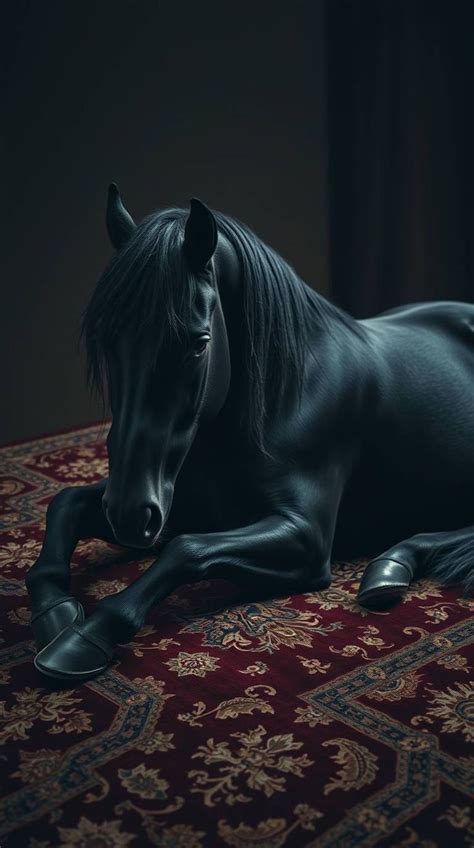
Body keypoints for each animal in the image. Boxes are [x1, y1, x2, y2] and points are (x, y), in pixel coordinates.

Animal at [25, 184, 474, 683]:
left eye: (199, 342)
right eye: (105, 338)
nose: (128, 512)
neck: (284, 397)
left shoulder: (306, 536)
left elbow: (185, 549)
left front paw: (85, 637)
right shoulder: (177, 504)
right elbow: (65, 503)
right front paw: (56, 611)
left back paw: (391, 568)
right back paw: (386, 570)